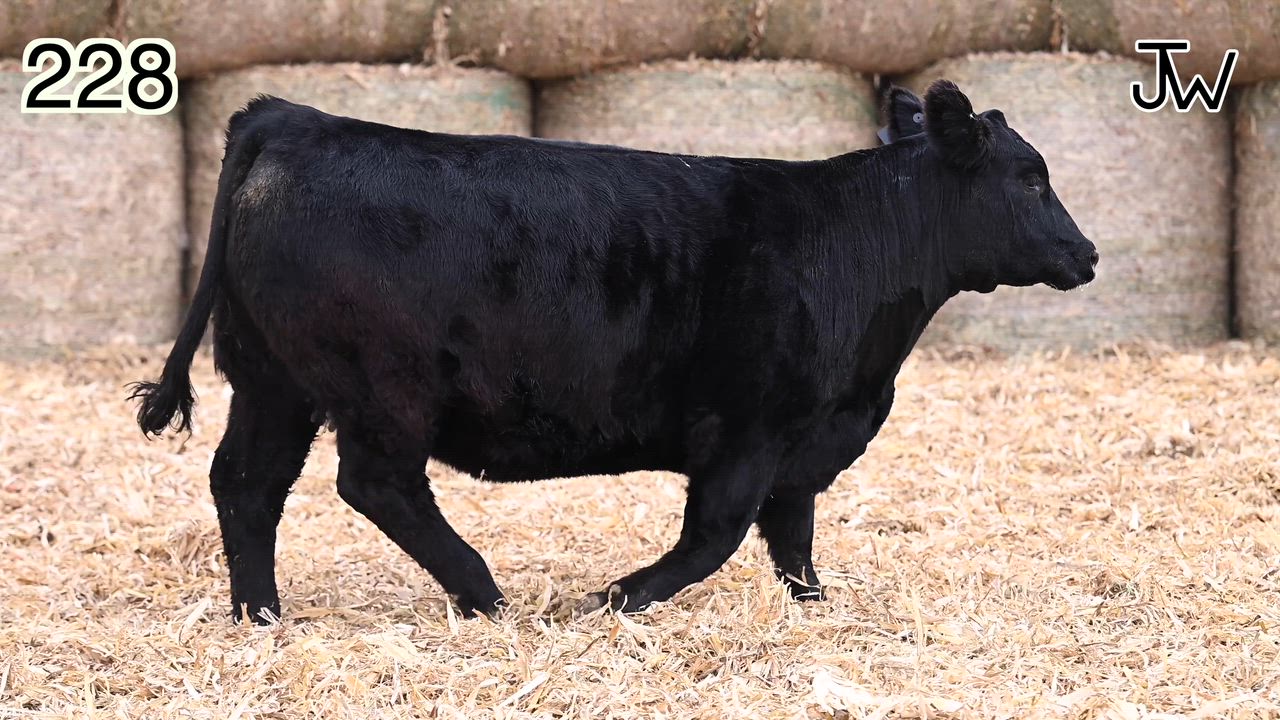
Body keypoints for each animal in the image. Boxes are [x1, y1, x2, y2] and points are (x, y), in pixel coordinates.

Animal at [130, 80, 1098, 624]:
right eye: (1032, 177)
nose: (1086, 253)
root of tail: (292, 119)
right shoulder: (748, 429)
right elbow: (715, 537)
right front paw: (614, 599)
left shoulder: (801, 443)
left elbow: (792, 539)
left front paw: (818, 610)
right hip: (381, 391)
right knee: (377, 485)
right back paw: (484, 595)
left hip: (271, 382)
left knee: (247, 485)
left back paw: (260, 617)